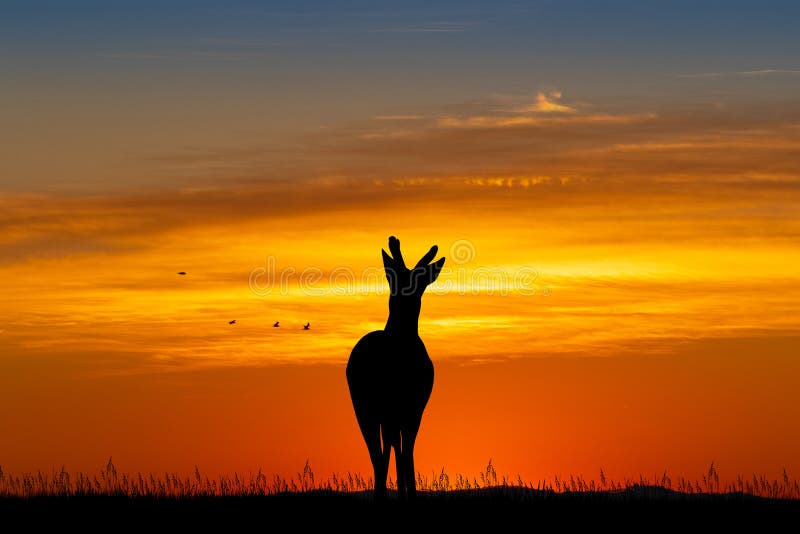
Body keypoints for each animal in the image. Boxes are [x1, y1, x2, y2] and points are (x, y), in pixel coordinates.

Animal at [346, 236, 445, 500]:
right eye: (393, 277)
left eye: (419, 281)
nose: (393, 238)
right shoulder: (392, 407)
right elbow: (394, 452)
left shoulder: (415, 409)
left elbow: (406, 451)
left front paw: (410, 495)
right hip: (363, 407)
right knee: (378, 453)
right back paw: (380, 493)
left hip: (386, 412)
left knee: (389, 448)